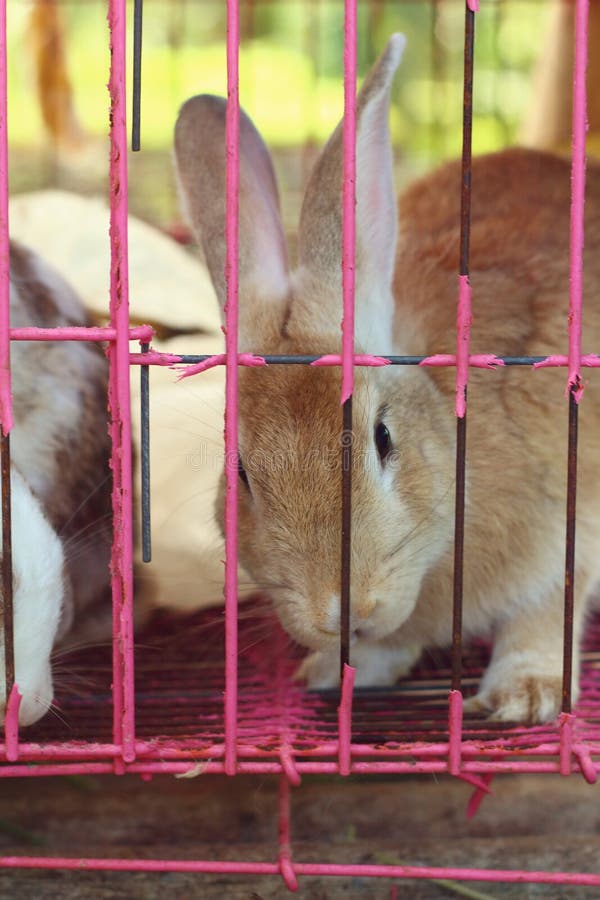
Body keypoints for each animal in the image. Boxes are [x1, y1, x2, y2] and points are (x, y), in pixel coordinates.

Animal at [174, 33, 600, 723]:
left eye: (382, 439)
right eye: (241, 474)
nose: (340, 610)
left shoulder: (573, 523)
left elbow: (546, 613)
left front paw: (524, 696)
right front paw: (332, 673)